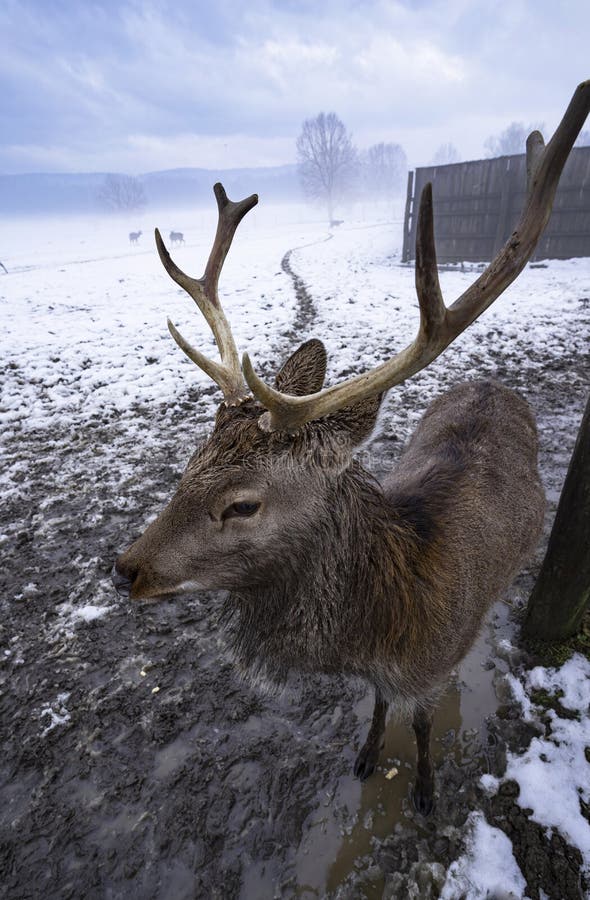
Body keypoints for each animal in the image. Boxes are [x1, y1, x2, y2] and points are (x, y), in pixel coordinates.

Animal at [112, 82, 589, 815]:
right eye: (188, 466)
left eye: (243, 504)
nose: (125, 568)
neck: (389, 626)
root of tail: (491, 382)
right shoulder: (378, 675)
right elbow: (377, 708)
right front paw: (365, 755)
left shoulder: (431, 665)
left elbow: (420, 723)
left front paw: (424, 788)